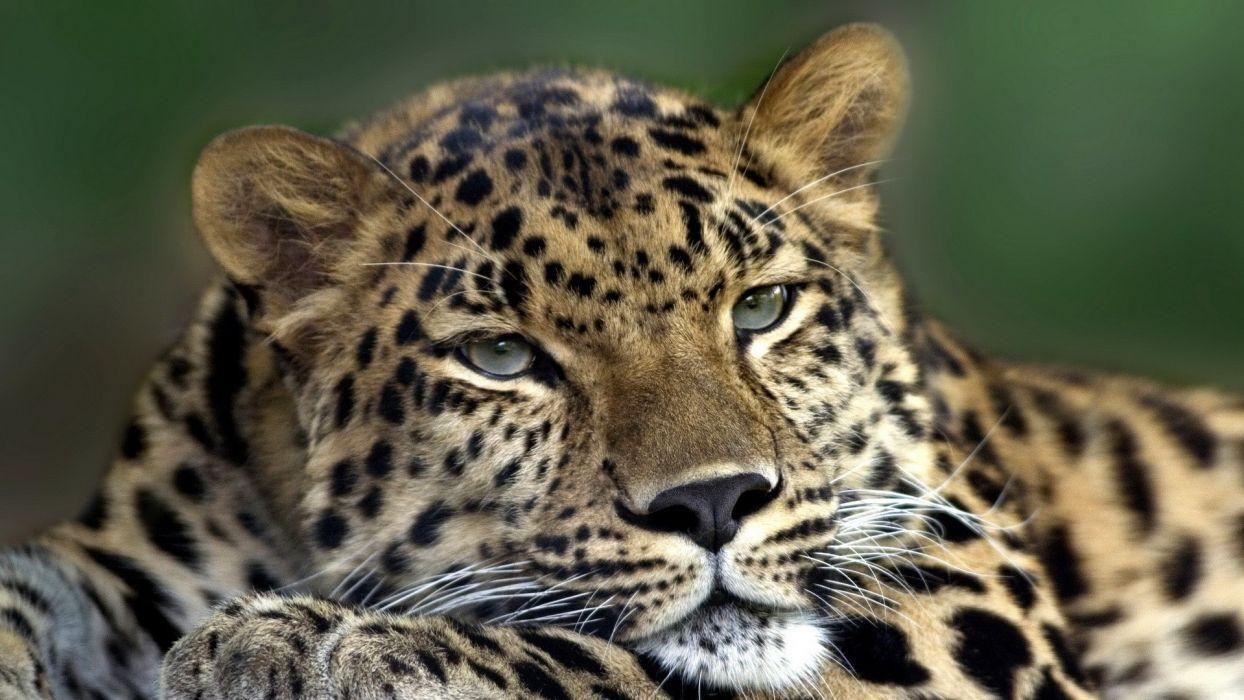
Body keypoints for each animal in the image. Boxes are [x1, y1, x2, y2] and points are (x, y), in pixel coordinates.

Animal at [2, 23, 1242, 699]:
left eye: (761, 307)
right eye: (502, 356)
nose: (714, 502)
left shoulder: (964, 601)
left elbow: (627, 662)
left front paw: (302, 642)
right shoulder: (128, 552)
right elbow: (30, 585)